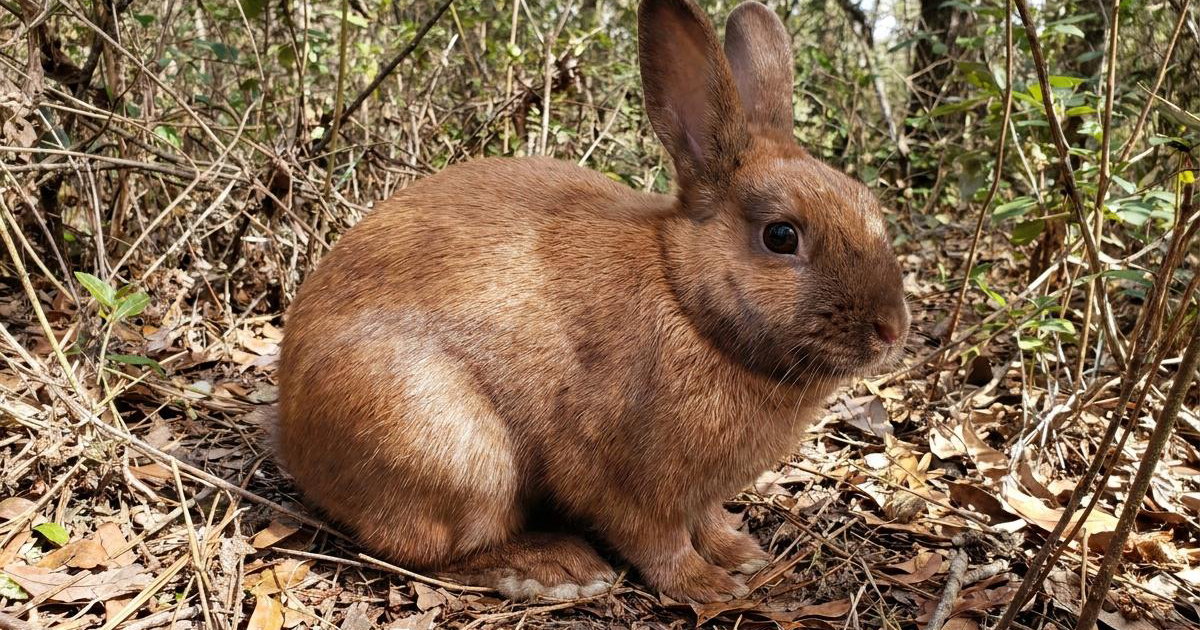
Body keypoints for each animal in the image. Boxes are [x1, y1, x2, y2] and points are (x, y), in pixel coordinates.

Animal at [276, 0, 909, 603]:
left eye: (869, 205)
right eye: (781, 236)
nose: (892, 330)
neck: (687, 301)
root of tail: (291, 434)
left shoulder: (697, 493)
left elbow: (705, 520)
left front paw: (739, 553)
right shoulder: (624, 480)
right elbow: (657, 541)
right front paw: (707, 585)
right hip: (454, 452)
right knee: (425, 549)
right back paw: (557, 569)